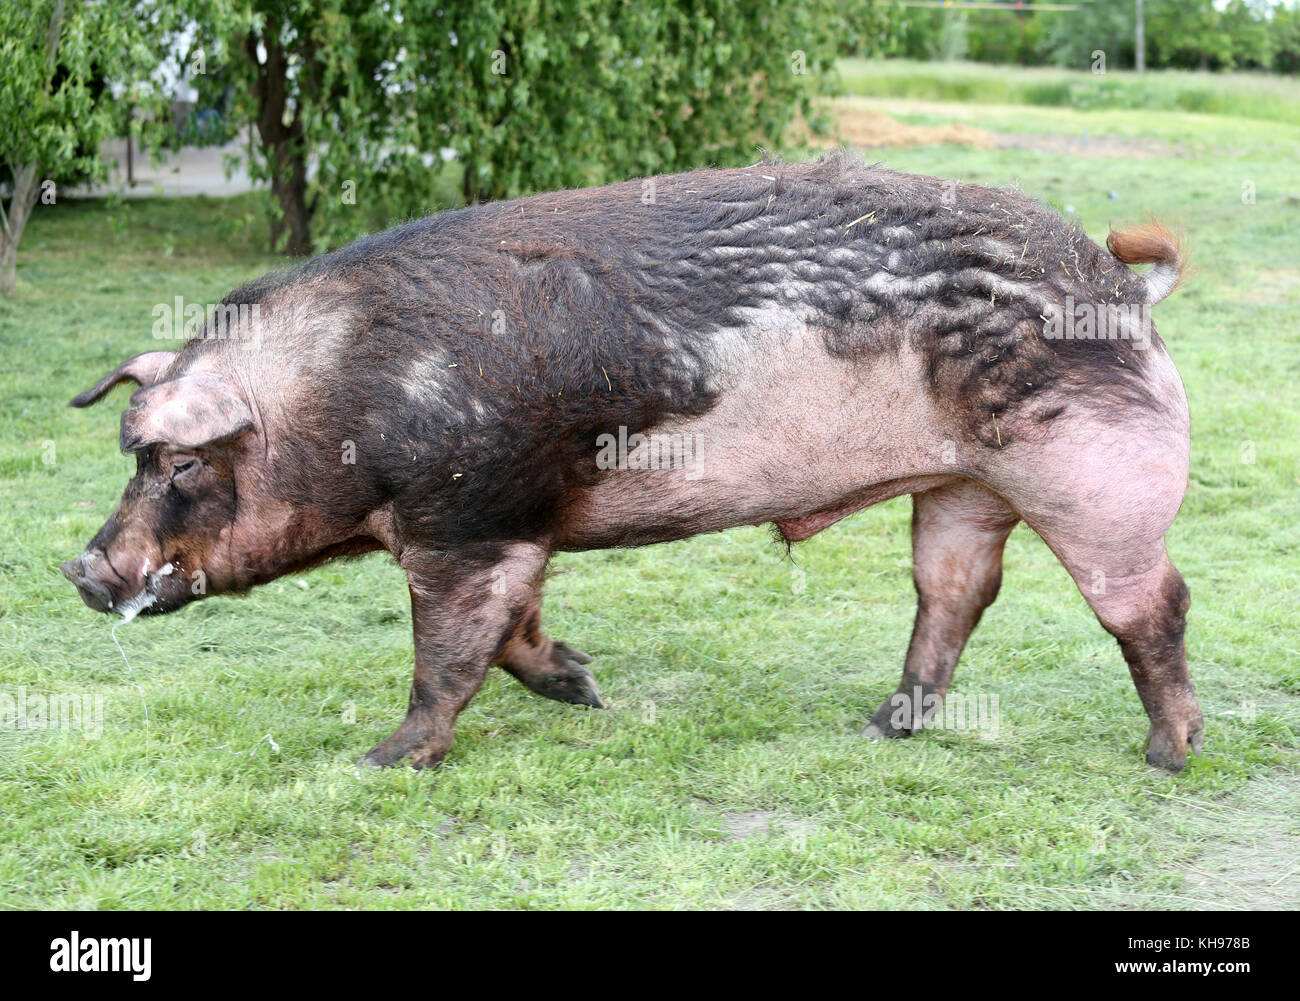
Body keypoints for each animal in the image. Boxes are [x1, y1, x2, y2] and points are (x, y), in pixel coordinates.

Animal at [61, 153, 1203, 772]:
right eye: (137, 453)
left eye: (177, 465)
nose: (80, 566)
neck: (337, 398)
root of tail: (1121, 284)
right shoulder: (519, 527)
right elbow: (513, 633)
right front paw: (585, 686)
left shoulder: (464, 528)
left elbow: (446, 656)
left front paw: (381, 760)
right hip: (964, 485)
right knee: (957, 591)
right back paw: (884, 727)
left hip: (1094, 477)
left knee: (1154, 602)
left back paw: (1169, 752)